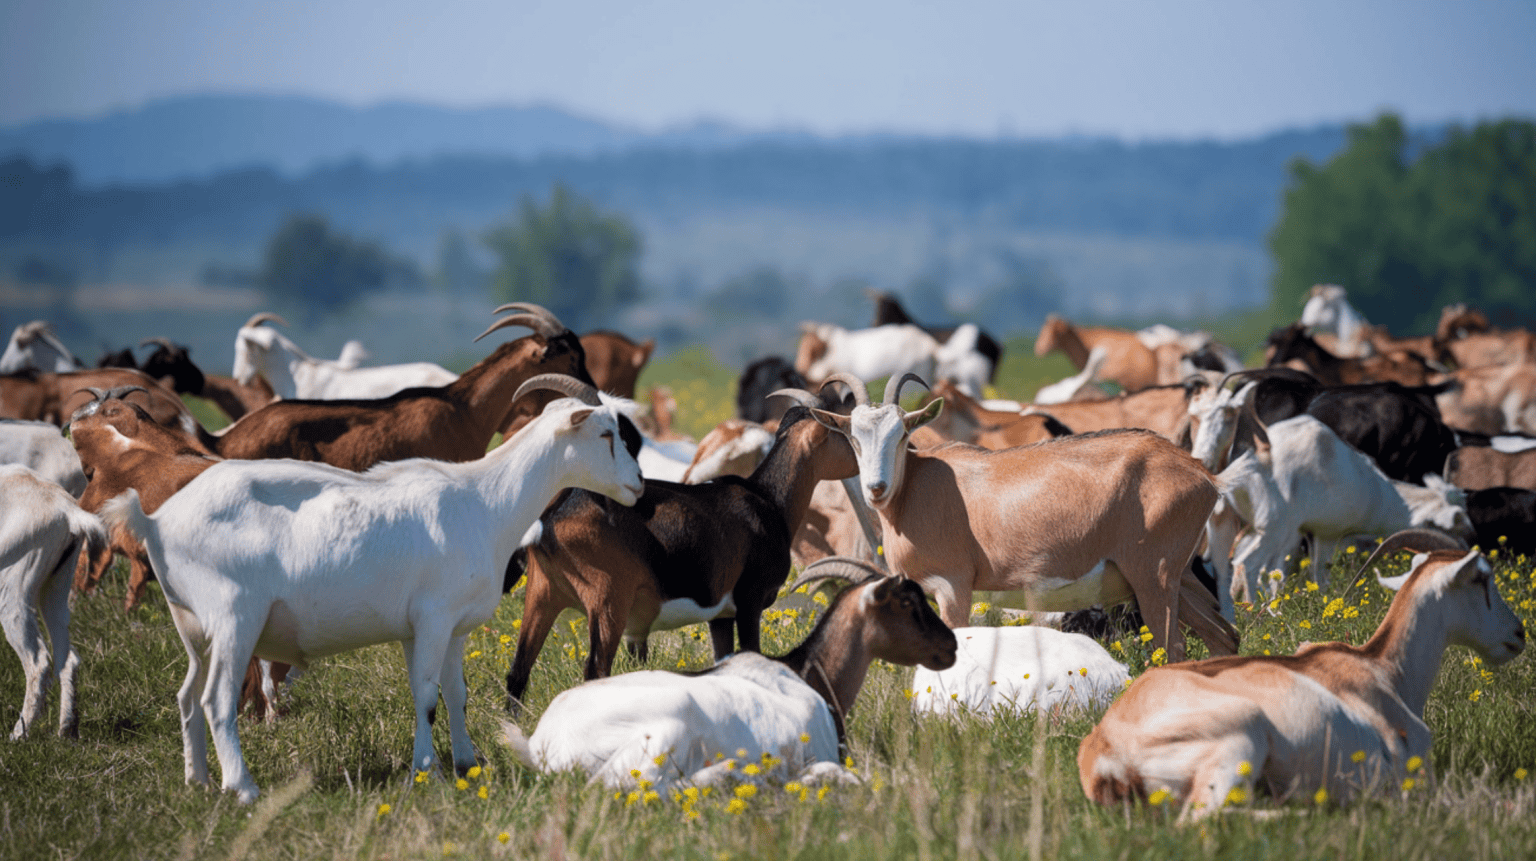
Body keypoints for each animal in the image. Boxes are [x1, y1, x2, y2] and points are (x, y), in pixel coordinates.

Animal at [1, 465, 108, 738]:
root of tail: (66, 511)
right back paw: (66, 730)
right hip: (56, 590)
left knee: (38, 662)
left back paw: (19, 735)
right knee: (68, 659)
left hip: (13, 590)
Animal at [99, 374, 643, 803]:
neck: (484, 501)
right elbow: (426, 694)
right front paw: (426, 772)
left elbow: (456, 693)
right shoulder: (432, 618)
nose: (638, 484)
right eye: (605, 433)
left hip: (192, 625)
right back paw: (244, 788)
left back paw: (198, 783)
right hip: (235, 617)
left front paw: (468, 764)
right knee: (215, 701)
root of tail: (154, 522)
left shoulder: (451, 627)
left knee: (188, 697)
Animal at [505, 387, 859, 708]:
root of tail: (554, 516)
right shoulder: (750, 600)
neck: (769, 499)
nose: (860, 462)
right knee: (594, 670)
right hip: (608, 598)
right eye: (838, 428)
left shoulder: (721, 614)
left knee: (518, 672)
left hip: (543, 592)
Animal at [807, 372, 1236, 662]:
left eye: (901, 433)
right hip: (1181, 579)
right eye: (854, 436)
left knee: (1174, 646)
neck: (913, 488)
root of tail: (1204, 475)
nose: (876, 487)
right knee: (1224, 636)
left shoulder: (952, 587)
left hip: (1154, 579)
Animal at [1079, 530, 1526, 820]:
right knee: (1206, 818)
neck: (1382, 668)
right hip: (1239, 740)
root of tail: (1104, 748)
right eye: (1482, 578)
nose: (1518, 634)